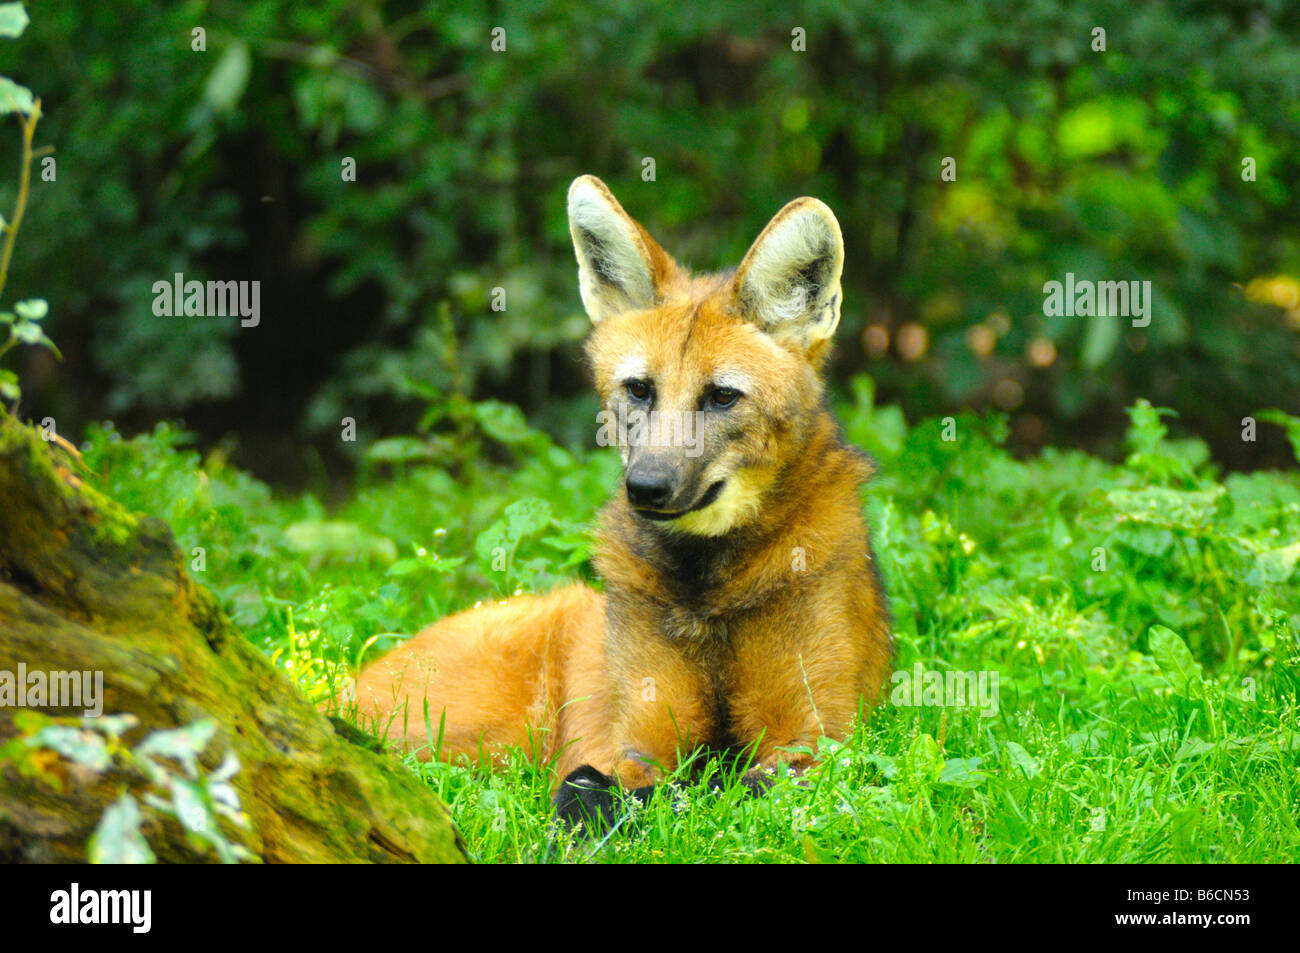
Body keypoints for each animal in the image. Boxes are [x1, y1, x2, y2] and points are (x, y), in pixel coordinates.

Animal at [351, 175, 893, 823]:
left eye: (722, 397)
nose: (647, 486)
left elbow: (717, 787)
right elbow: (634, 784)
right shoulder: (636, 739)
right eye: (639, 390)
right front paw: (589, 811)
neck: (706, 589)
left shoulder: (816, 745)